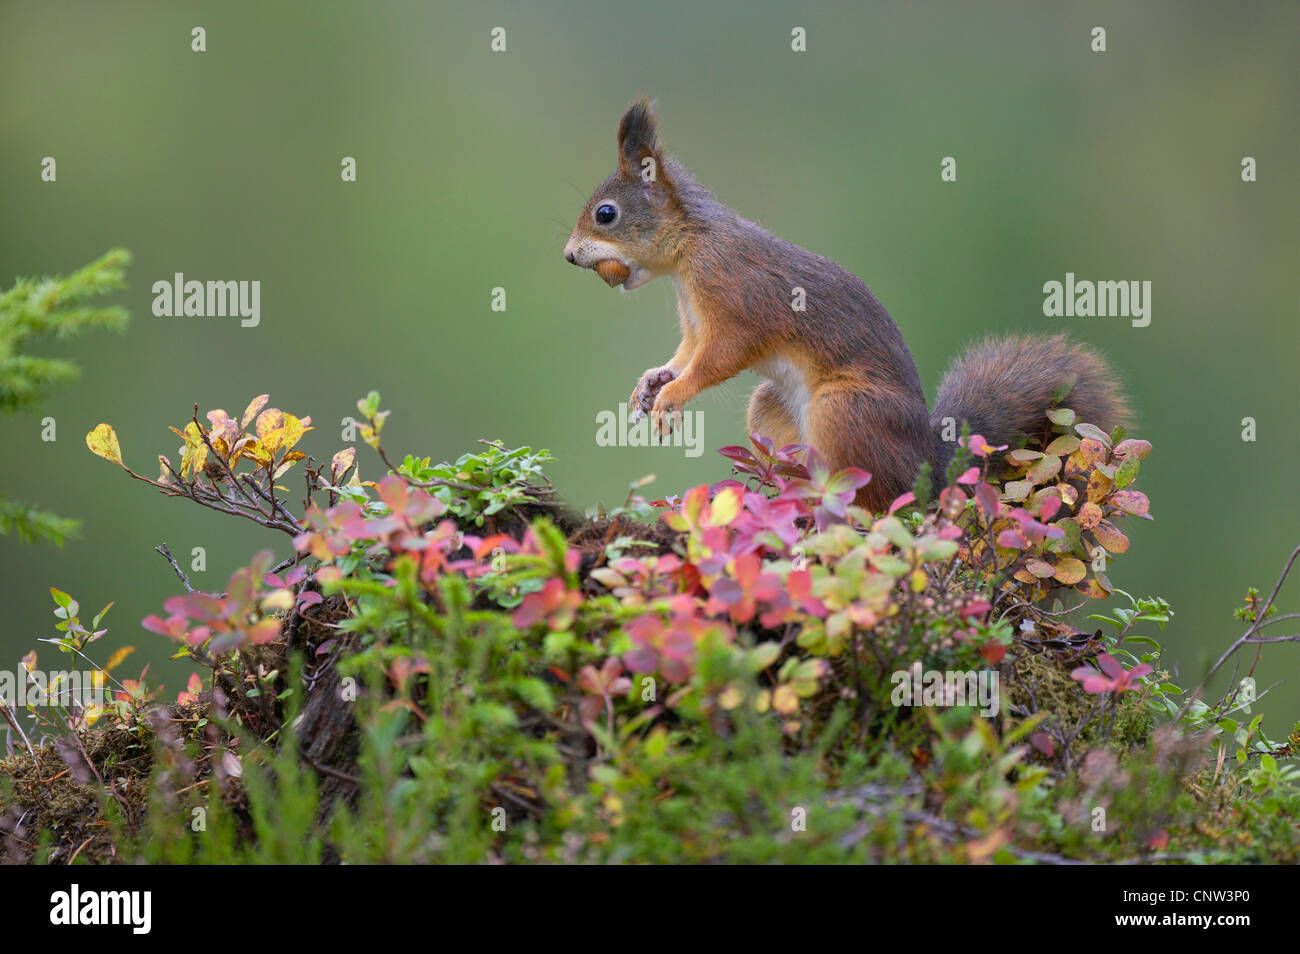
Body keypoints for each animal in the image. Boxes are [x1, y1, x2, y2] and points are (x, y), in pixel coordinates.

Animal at [563, 98, 1130, 512]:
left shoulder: (734, 296)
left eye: (606, 214)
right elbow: (686, 351)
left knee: (882, 503)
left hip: (845, 409)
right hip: (774, 409)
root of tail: (927, 467)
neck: (690, 247)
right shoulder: (694, 318)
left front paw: (674, 395)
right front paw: (653, 380)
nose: (568, 256)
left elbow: (719, 356)